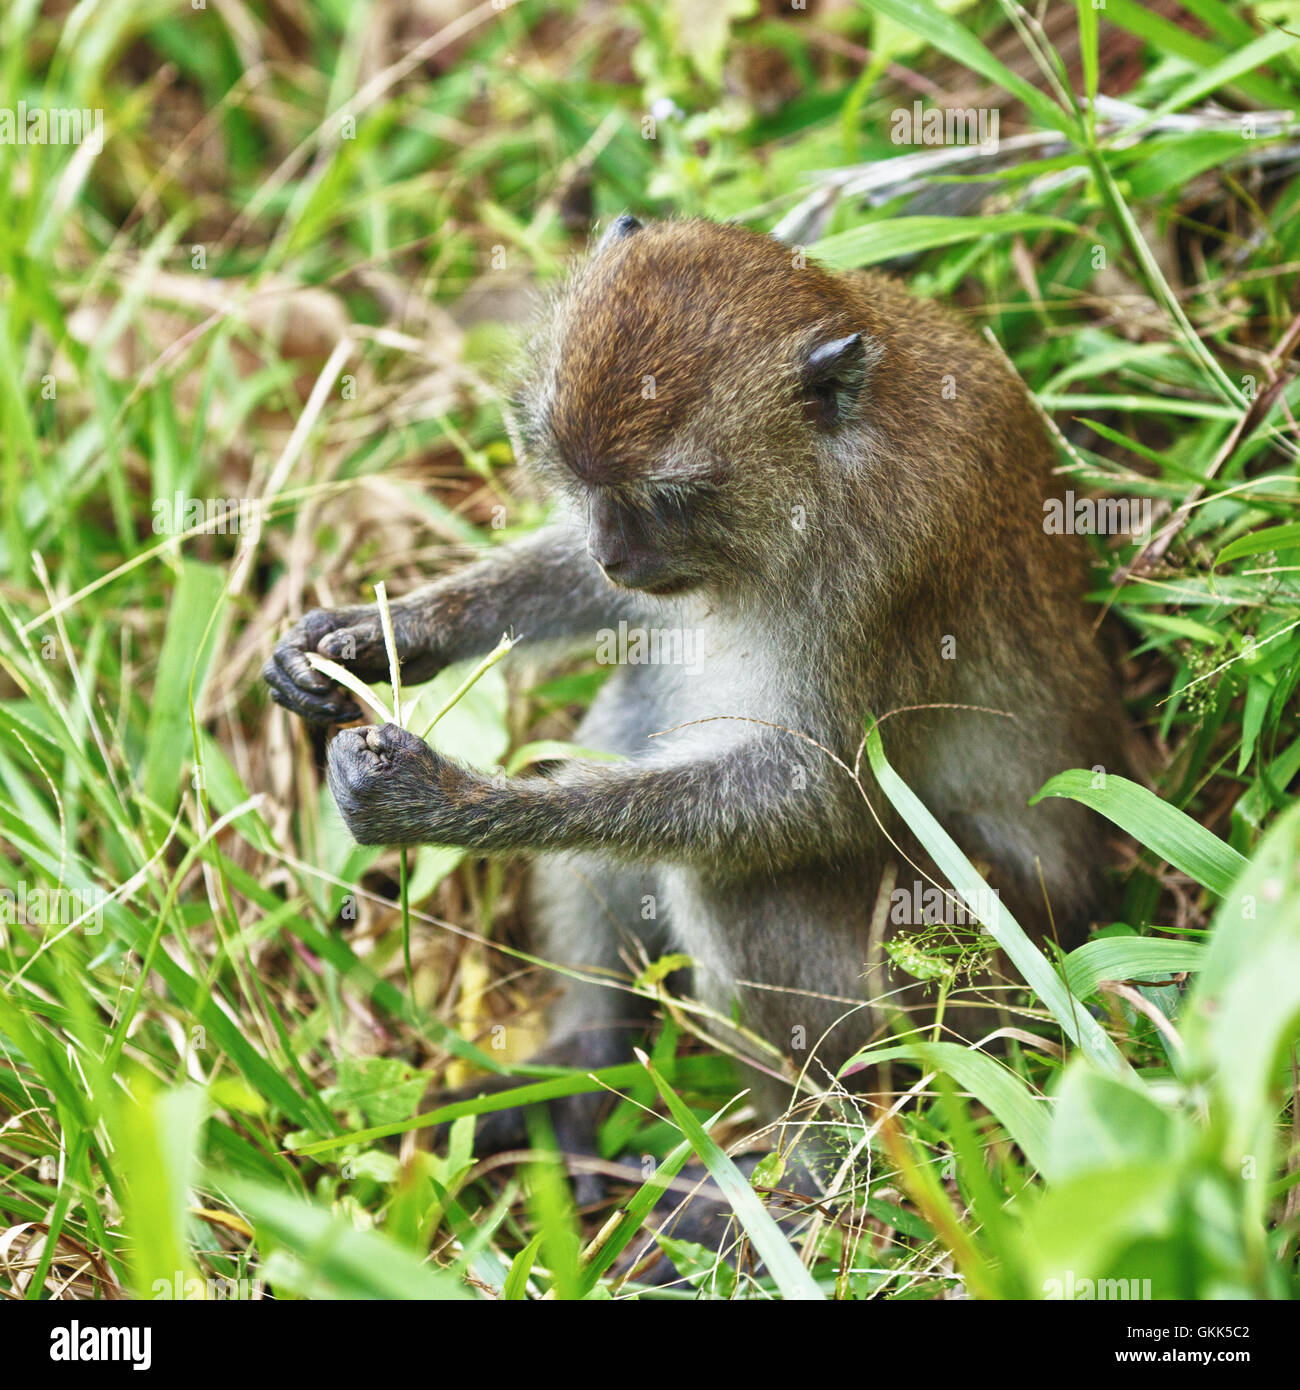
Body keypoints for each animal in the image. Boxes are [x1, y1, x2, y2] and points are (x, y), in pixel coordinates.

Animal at [263, 215, 1129, 1210]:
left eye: (670, 496)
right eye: (578, 479)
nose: (613, 553)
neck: (830, 466)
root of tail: (1081, 915)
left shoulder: (885, 567)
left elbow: (821, 796)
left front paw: (449, 804)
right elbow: (592, 603)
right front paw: (372, 634)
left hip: (964, 987)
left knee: (731, 878)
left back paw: (810, 1171)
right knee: (632, 710)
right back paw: (584, 1056)